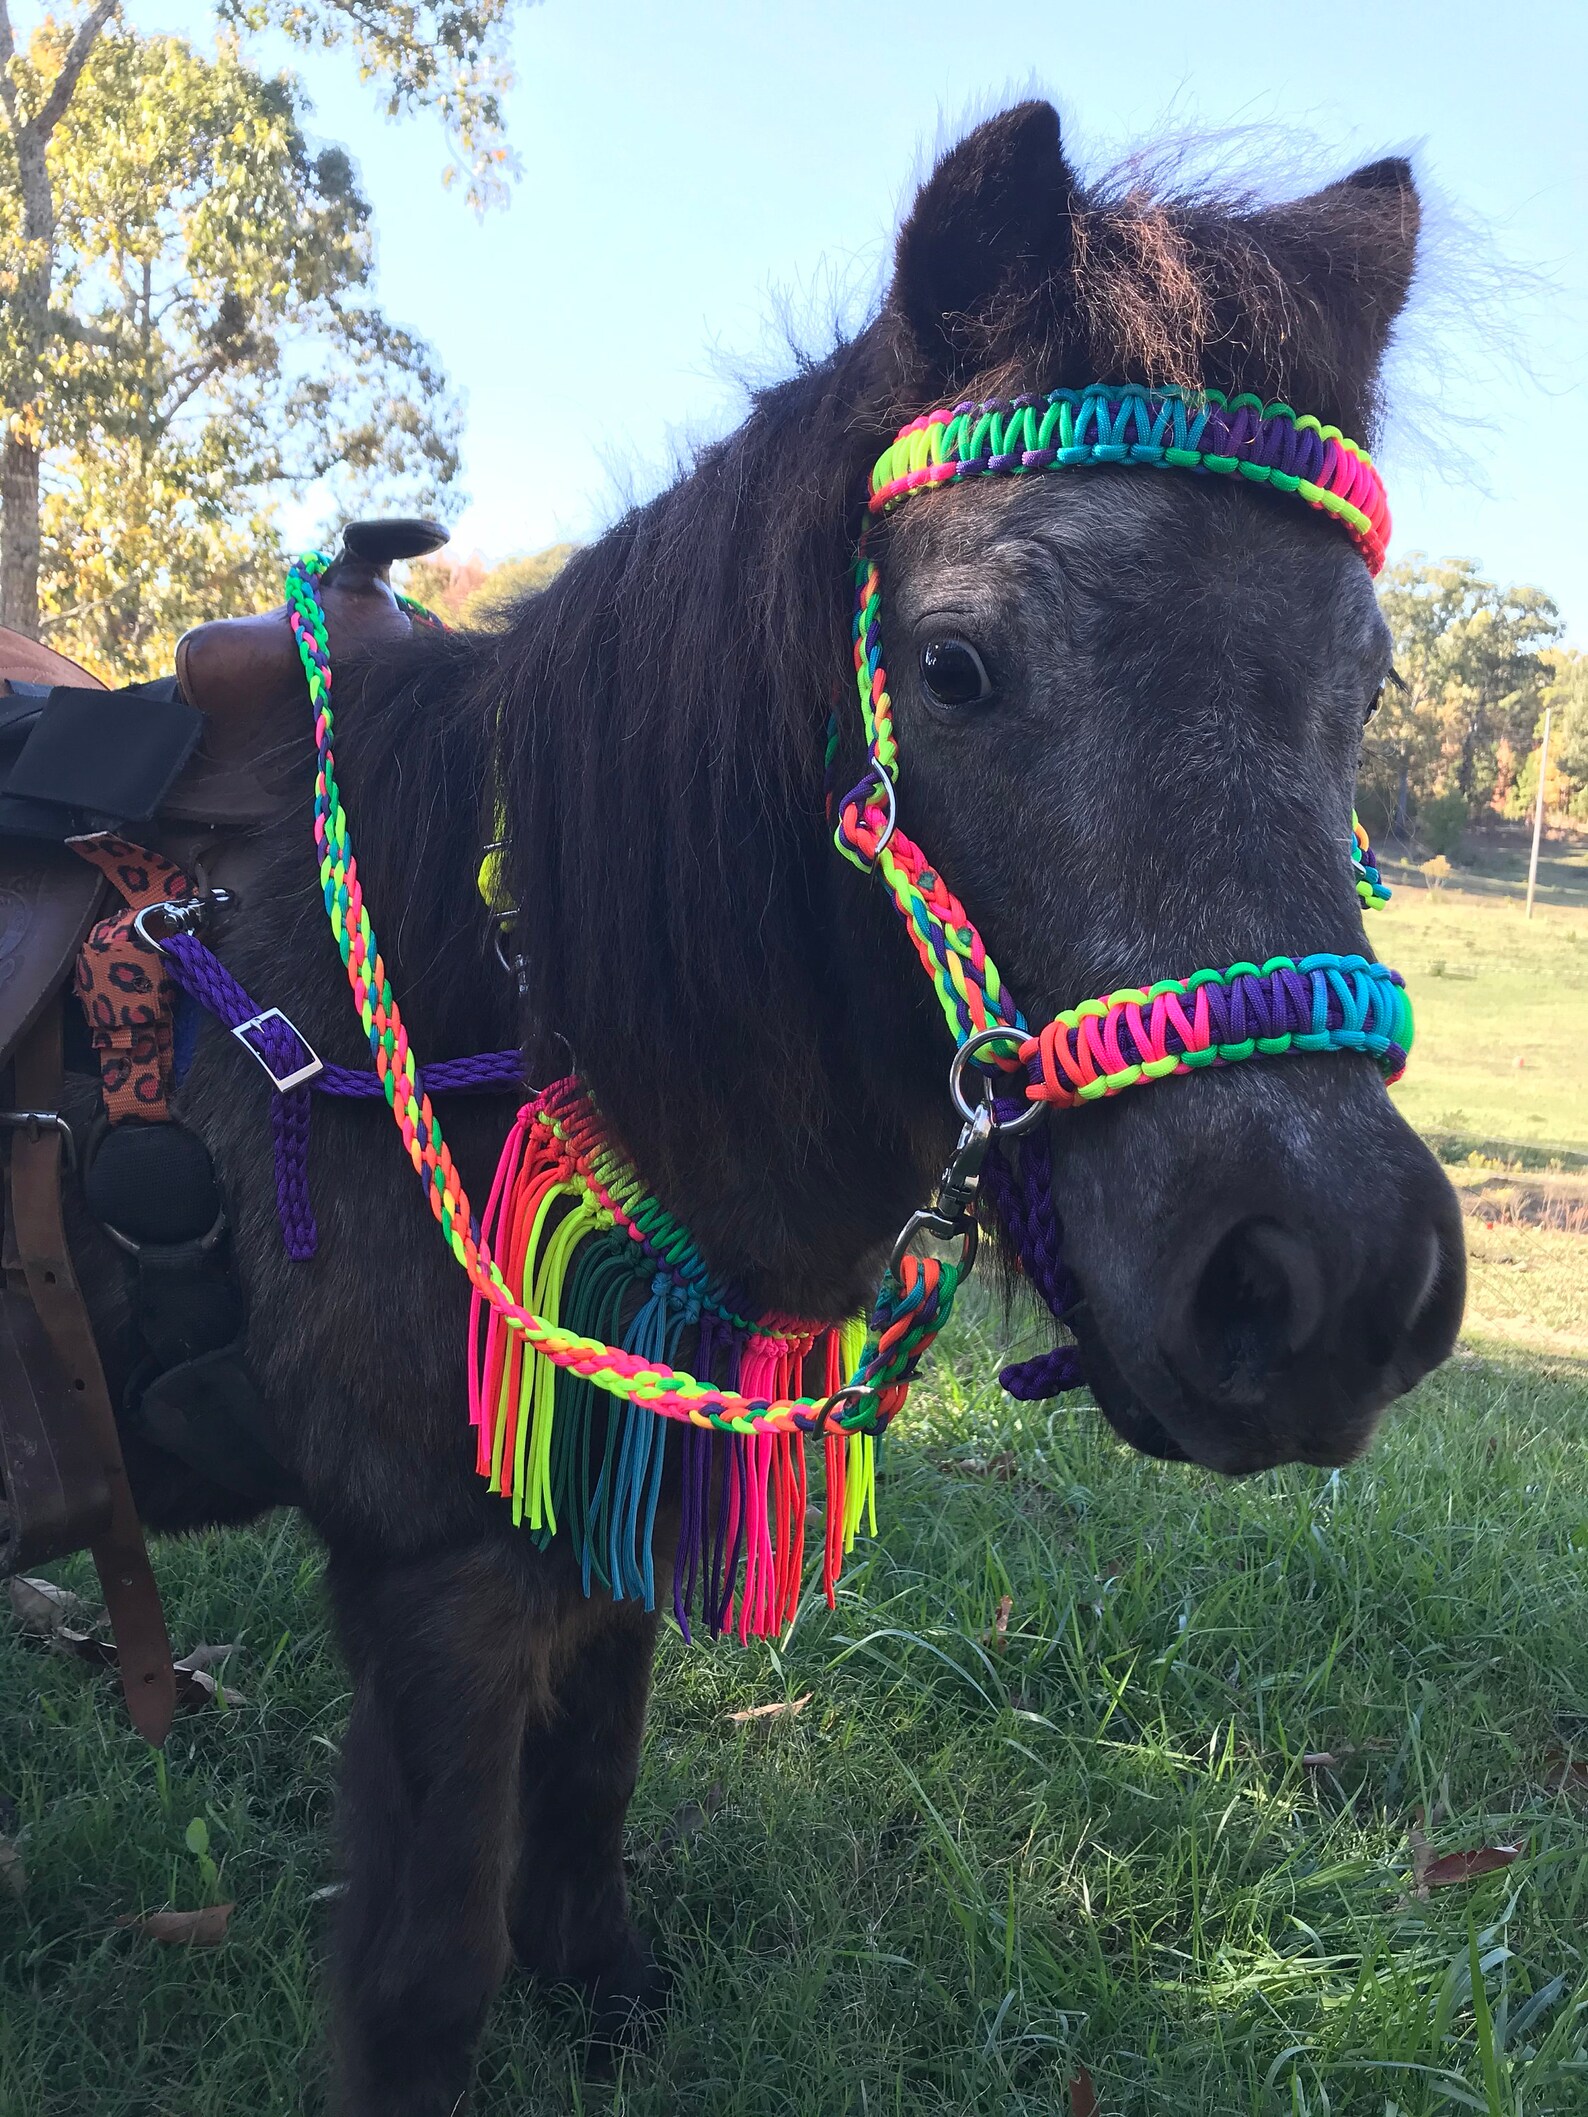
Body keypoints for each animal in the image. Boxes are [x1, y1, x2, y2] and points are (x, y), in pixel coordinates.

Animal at [47, 100, 1462, 2115]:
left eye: (1369, 687)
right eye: (953, 666)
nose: (1329, 1285)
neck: (504, 995)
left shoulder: (605, 1517)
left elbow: (590, 1801)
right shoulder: (435, 1585)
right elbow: (425, 1979)